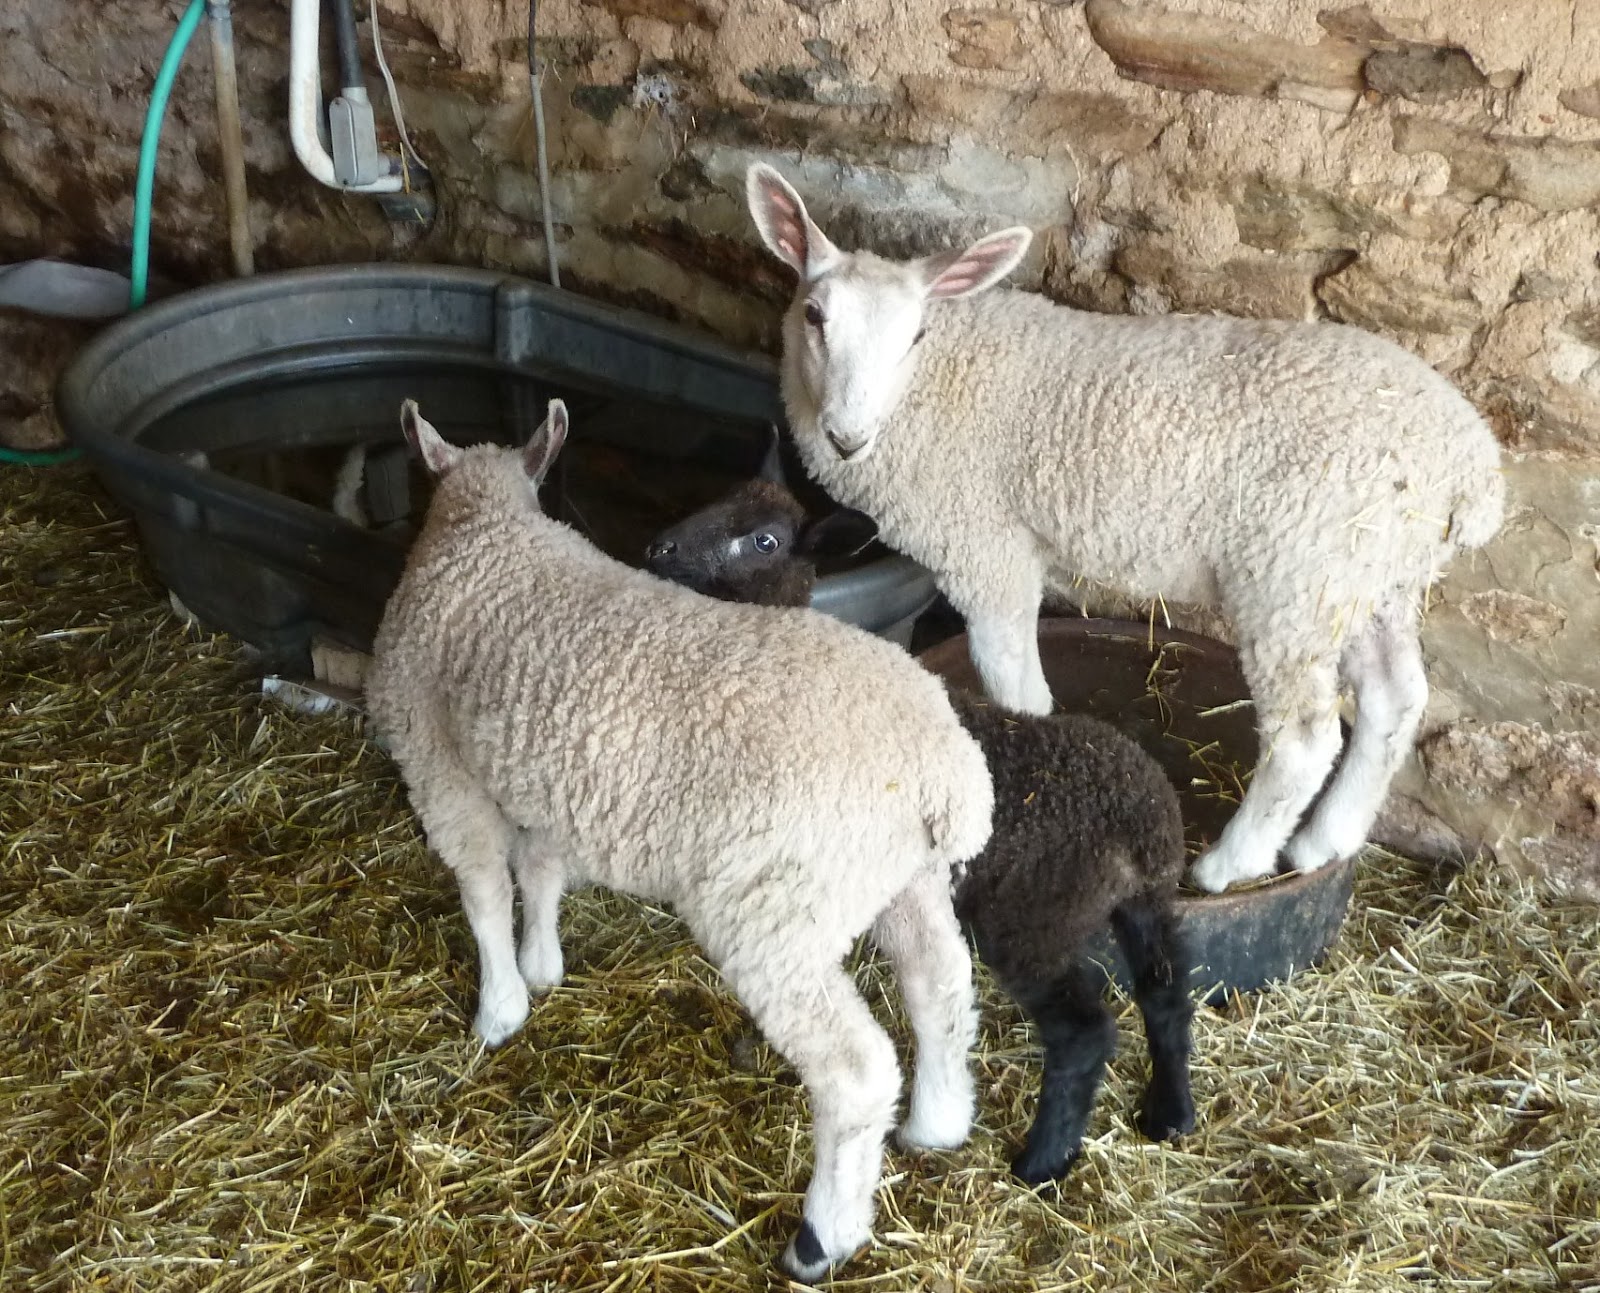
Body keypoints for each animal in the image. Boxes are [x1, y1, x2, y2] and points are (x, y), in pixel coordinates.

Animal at [363, 397, 995, 1281]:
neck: (486, 535)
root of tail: (946, 771)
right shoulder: (552, 775)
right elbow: (539, 868)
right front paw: (541, 965)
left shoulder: (439, 764)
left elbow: (485, 889)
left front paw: (499, 1008)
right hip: (899, 878)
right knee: (938, 983)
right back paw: (937, 1124)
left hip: (777, 910)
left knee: (856, 1072)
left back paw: (821, 1237)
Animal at [645, 464, 1196, 1184]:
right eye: (720, 498)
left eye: (763, 540)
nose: (658, 549)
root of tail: (1142, 828)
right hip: (1145, 906)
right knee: (1166, 993)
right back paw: (1171, 1113)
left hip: (1032, 919)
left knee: (1084, 1031)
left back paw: (1041, 1160)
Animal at [743, 162, 1506, 896]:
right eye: (813, 315)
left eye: (916, 335)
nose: (847, 437)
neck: (931, 388)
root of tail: (1470, 466)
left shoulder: (986, 548)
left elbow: (1015, 684)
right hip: (1371, 576)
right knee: (1393, 700)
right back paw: (1327, 840)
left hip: (1296, 575)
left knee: (1304, 740)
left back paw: (1230, 865)